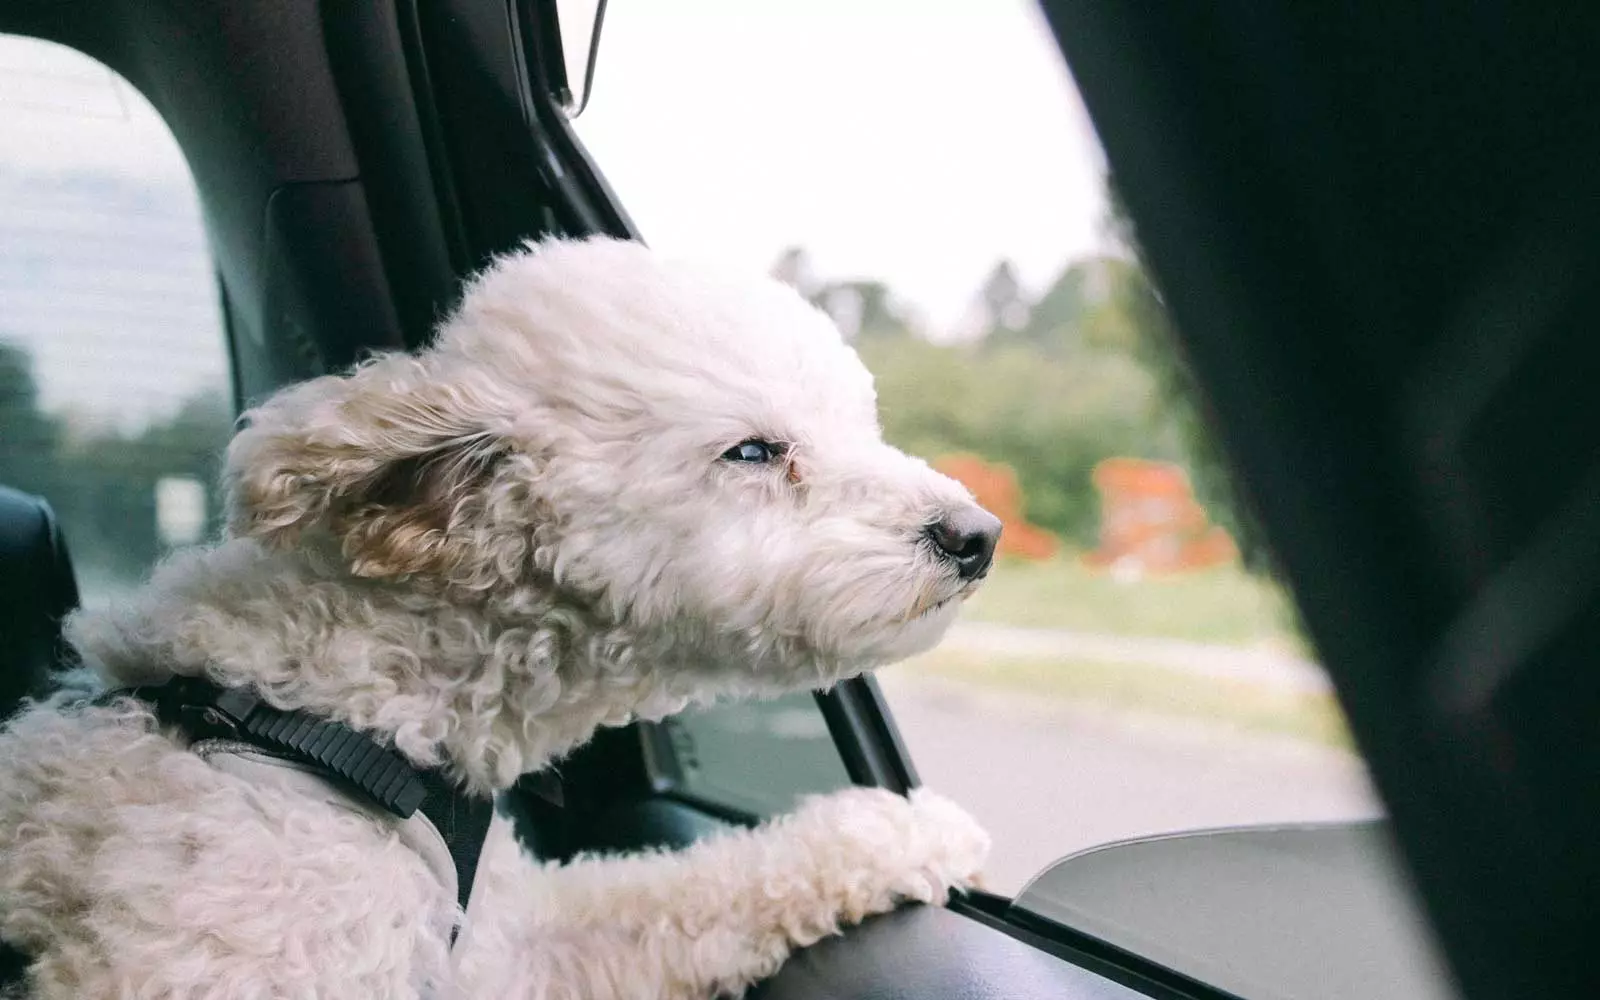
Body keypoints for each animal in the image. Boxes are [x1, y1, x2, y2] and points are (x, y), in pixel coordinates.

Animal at [0, 235, 998, 998]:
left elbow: (687, 891)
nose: (978, 534)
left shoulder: (508, 944)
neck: (351, 706)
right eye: (752, 452)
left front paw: (896, 831)